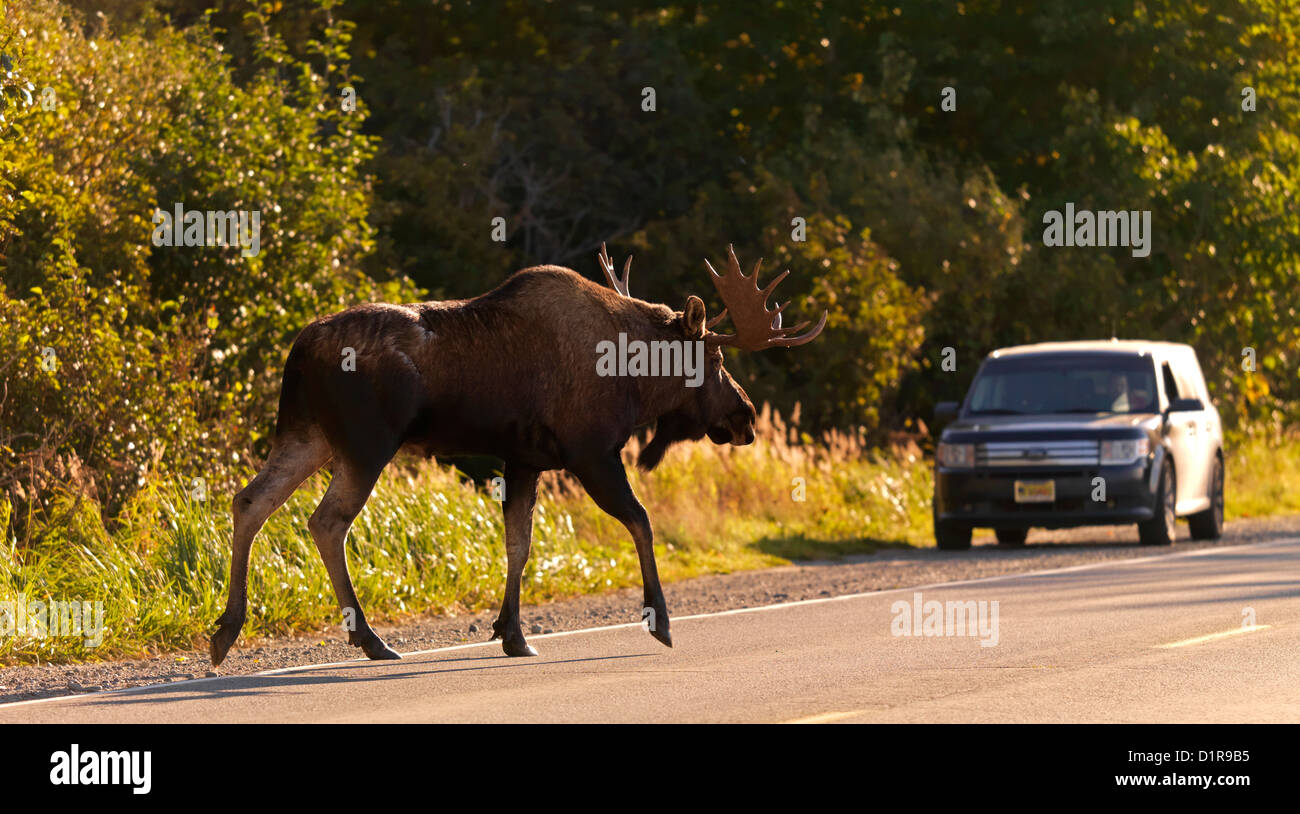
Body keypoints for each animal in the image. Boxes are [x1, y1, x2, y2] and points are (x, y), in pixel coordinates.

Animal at [209, 244, 826, 666]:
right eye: (715, 362)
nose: (746, 417)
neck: (635, 376)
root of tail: (297, 351)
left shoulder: (524, 459)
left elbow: (518, 543)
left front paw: (512, 634)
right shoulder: (592, 452)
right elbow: (641, 522)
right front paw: (660, 621)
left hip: (307, 434)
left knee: (251, 502)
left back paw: (225, 631)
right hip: (366, 444)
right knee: (325, 521)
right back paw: (370, 640)